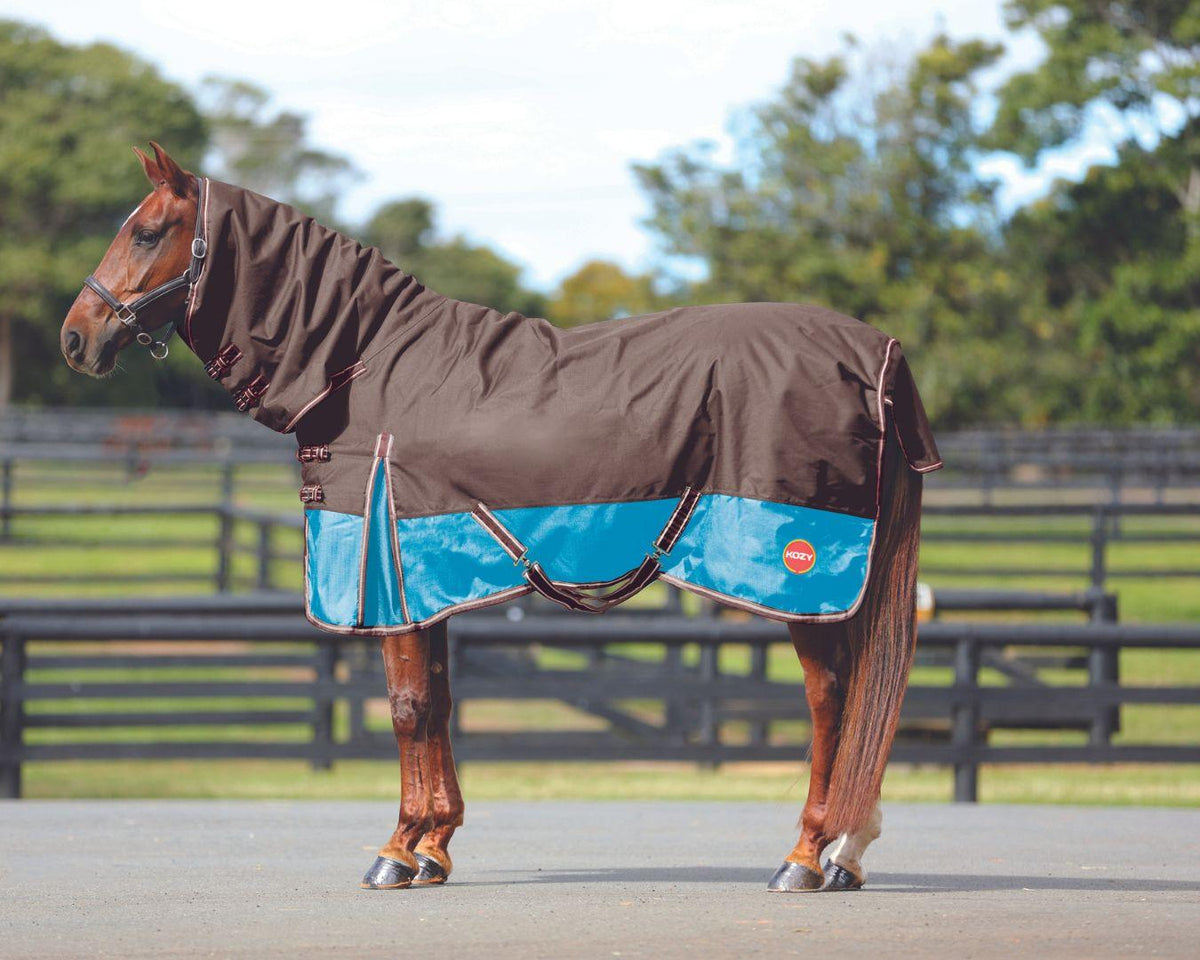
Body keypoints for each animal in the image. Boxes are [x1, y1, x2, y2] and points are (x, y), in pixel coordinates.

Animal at [61, 142, 942, 893]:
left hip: (800, 575)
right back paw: (846, 854)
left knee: (832, 699)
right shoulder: (425, 576)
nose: (76, 337)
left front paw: (395, 852)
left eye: (146, 232)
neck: (364, 365)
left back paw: (808, 854)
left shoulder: (390, 570)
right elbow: (438, 703)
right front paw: (433, 847)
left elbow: (408, 708)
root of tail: (878, 354)